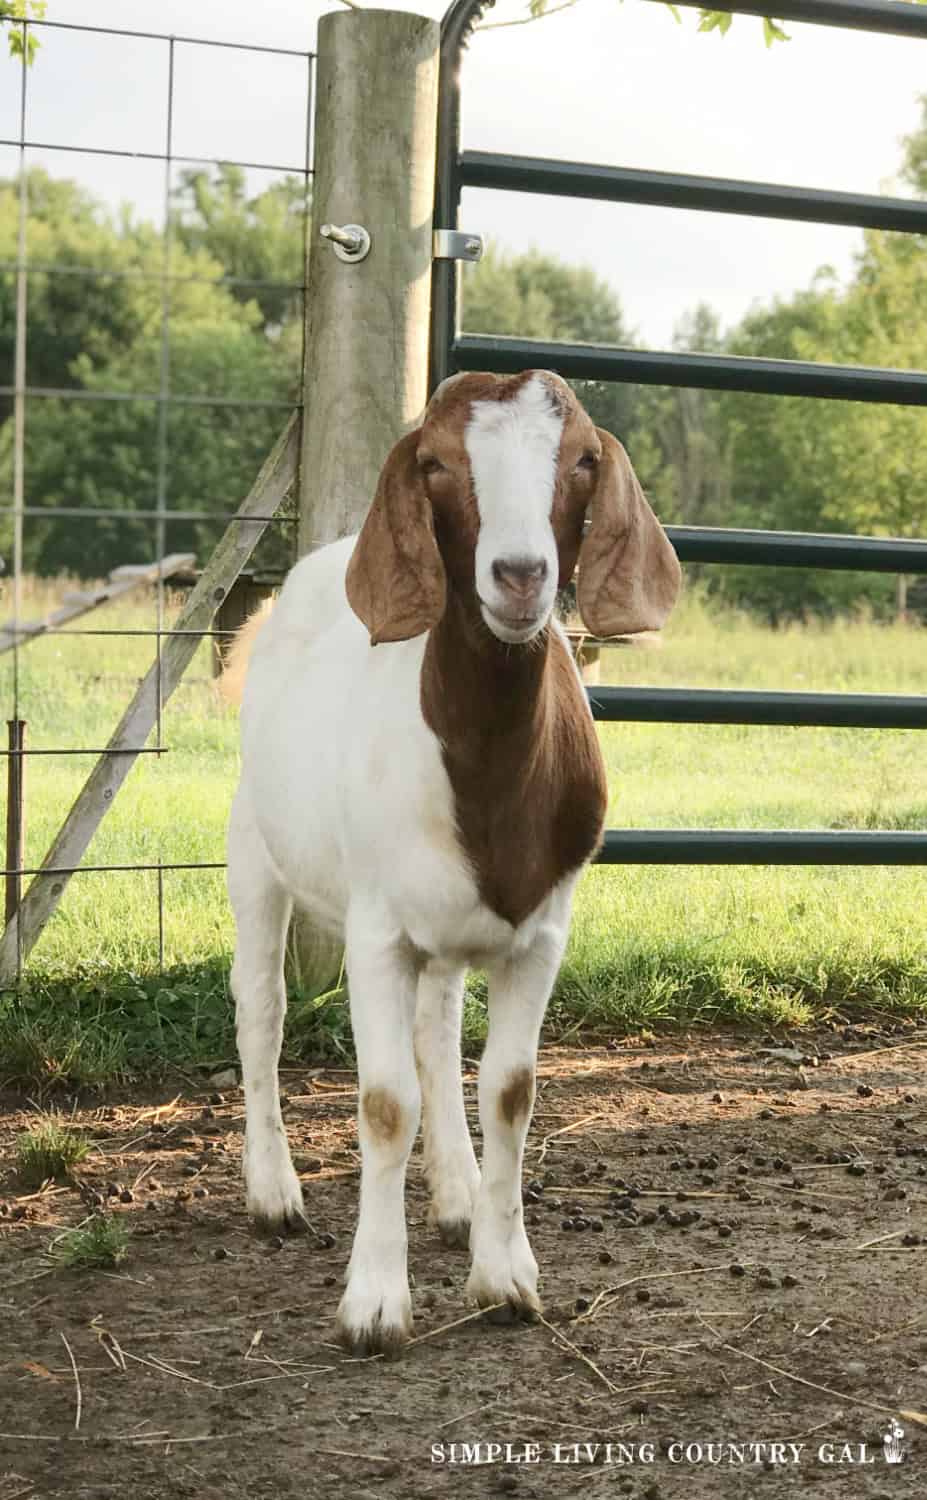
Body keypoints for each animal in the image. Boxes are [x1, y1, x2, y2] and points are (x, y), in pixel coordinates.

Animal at [224, 369, 681, 1357]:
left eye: (581, 460)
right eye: (434, 463)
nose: (520, 575)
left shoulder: (540, 933)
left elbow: (508, 1091)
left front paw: (505, 1275)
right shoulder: (373, 933)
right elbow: (383, 1103)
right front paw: (373, 1304)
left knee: (436, 1030)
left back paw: (458, 1193)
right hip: (256, 855)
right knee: (262, 1011)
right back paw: (273, 1193)